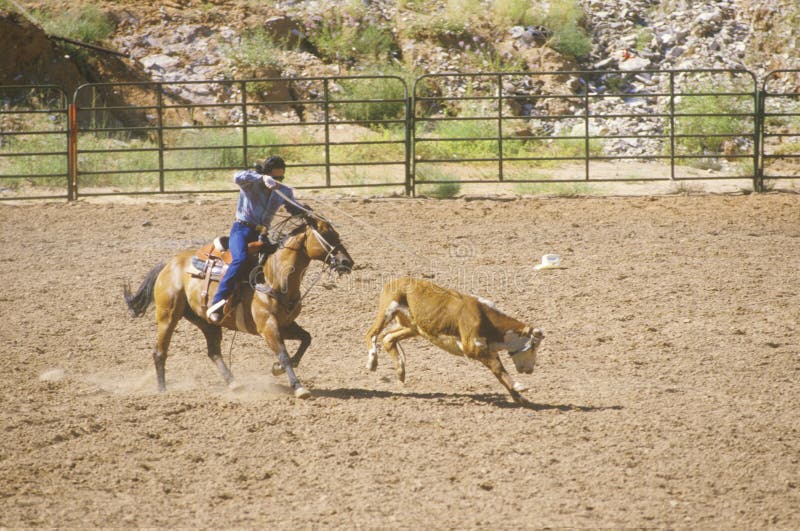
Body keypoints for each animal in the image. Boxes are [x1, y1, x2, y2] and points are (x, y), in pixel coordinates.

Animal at [365, 277, 544, 403]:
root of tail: (396, 280)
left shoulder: (487, 349)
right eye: (533, 347)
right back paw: (372, 361)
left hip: (412, 326)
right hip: (388, 310)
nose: (531, 370)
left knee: (388, 338)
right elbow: (498, 368)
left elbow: (498, 372)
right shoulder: (471, 347)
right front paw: (520, 387)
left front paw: (520, 398)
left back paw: (400, 371)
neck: (485, 317)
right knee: (371, 333)